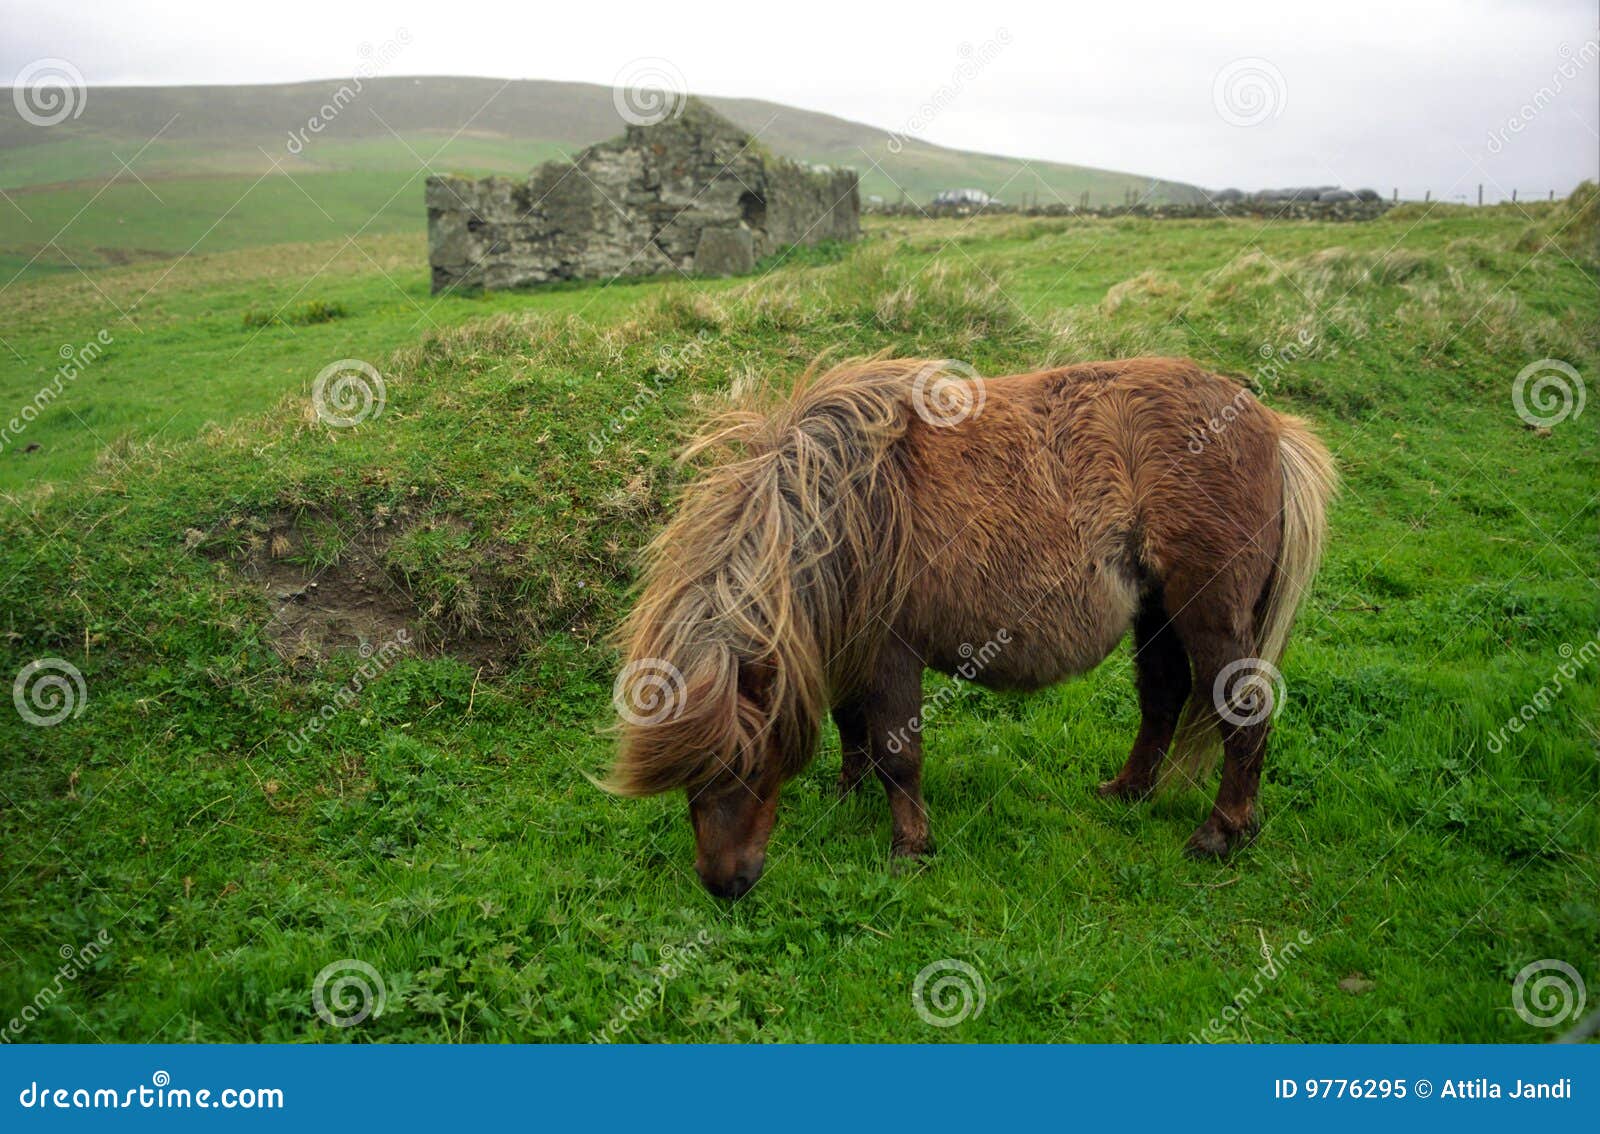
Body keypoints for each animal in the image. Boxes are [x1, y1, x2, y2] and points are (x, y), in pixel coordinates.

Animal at [606, 356, 1336, 899]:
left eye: (748, 762)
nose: (724, 883)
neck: (849, 504)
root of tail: (1269, 425)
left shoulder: (889, 654)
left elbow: (899, 753)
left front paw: (910, 848)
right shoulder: (848, 644)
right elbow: (852, 728)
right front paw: (848, 794)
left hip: (1209, 614)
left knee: (1244, 710)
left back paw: (1222, 833)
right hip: (1156, 614)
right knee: (1162, 700)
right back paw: (1127, 793)